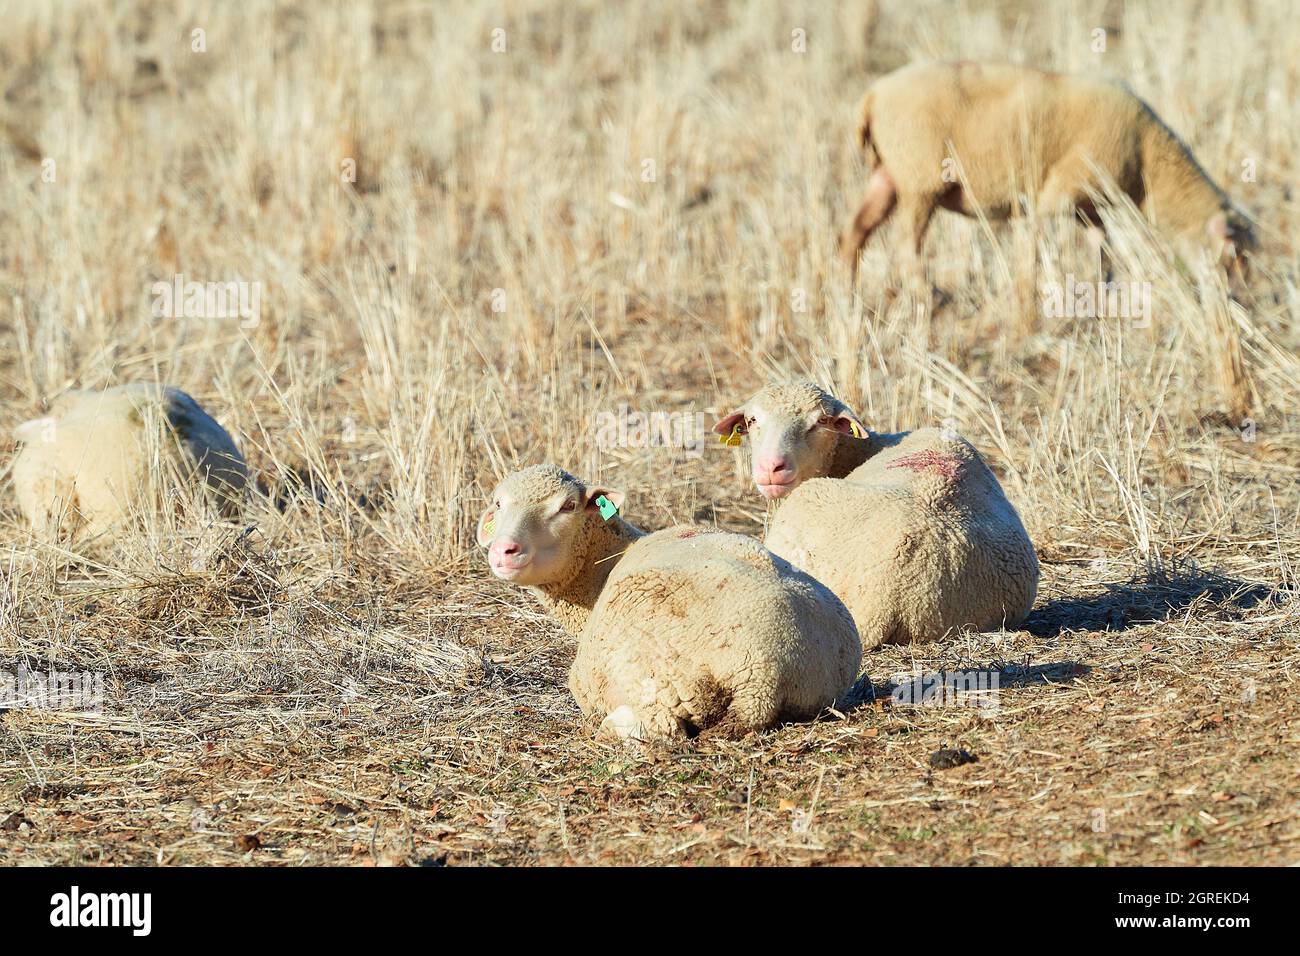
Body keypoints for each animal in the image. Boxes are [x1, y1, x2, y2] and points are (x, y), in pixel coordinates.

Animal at [476, 464, 861, 741]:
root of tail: (765, 678)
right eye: (498, 503)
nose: (504, 550)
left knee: (659, 729)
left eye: (568, 506)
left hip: (653, 677)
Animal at [840, 61, 1256, 290]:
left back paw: (848, 291)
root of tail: (873, 95)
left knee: (856, 232)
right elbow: (1035, 237)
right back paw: (929, 295)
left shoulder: (1089, 204)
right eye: (1235, 254)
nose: (1237, 300)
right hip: (920, 179)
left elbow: (1101, 246)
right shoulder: (1061, 189)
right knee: (905, 245)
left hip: (887, 176)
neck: (1149, 156)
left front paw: (1103, 288)